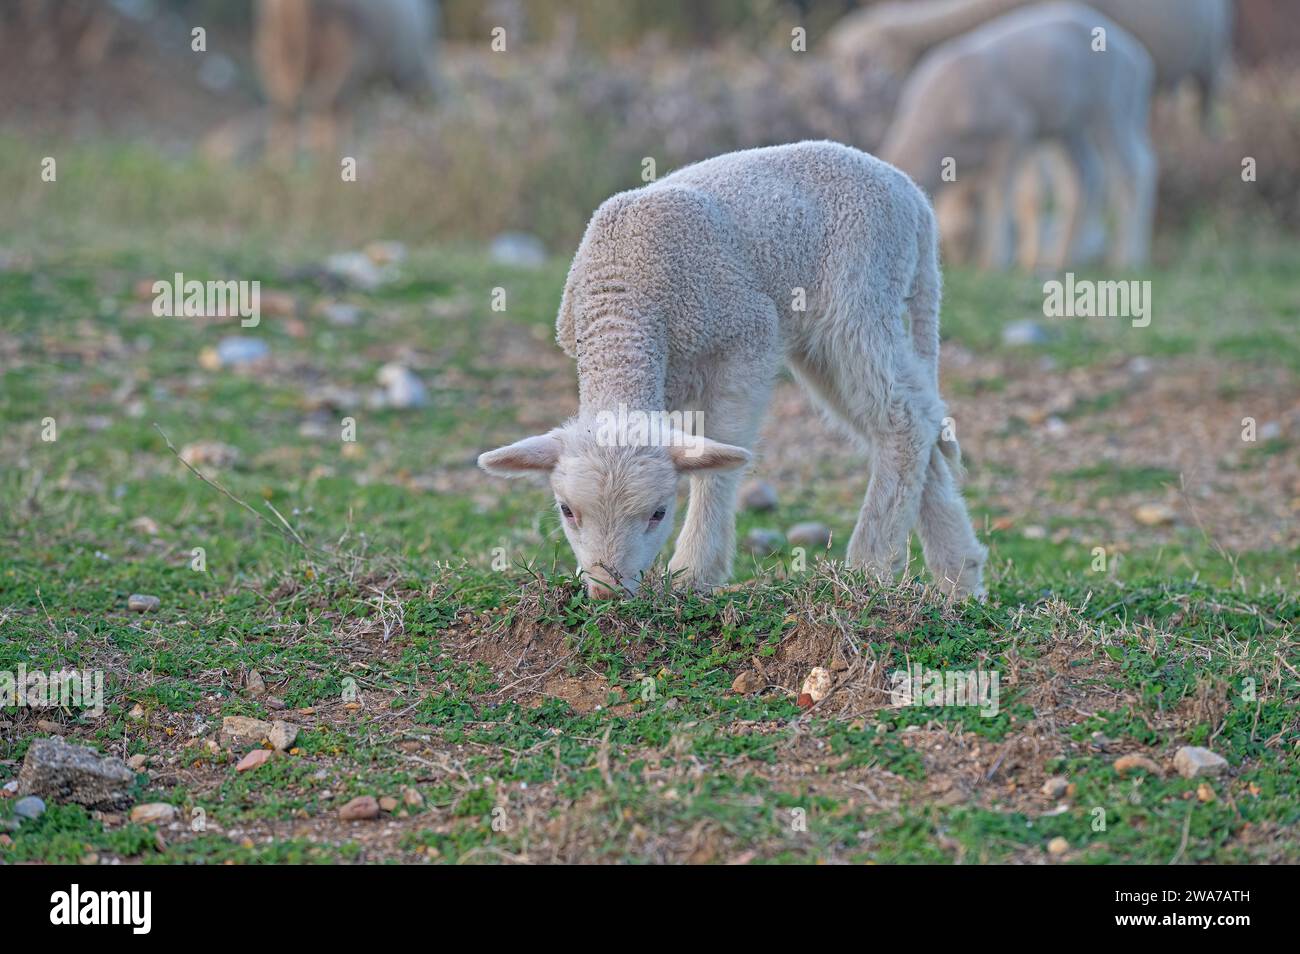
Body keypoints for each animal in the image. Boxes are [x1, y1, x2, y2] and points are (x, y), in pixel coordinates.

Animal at [479, 141, 987, 601]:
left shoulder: (747, 339)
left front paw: (694, 574)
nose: (608, 594)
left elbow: (724, 451)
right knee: (920, 414)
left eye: (659, 513)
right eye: (566, 510)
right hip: (828, 335)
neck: (626, 302)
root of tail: (914, 198)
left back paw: (872, 565)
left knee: (904, 418)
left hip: (858, 298)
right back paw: (959, 579)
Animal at [880, 3, 1156, 270]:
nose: (960, 264)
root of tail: (1137, 56)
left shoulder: (1015, 130)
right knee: (1084, 176)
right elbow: (1027, 197)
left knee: (1133, 171)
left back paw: (1127, 259)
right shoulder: (1027, 136)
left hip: (1115, 108)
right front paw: (1026, 259)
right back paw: (1061, 258)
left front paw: (994, 261)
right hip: (1068, 127)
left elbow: (999, 196)